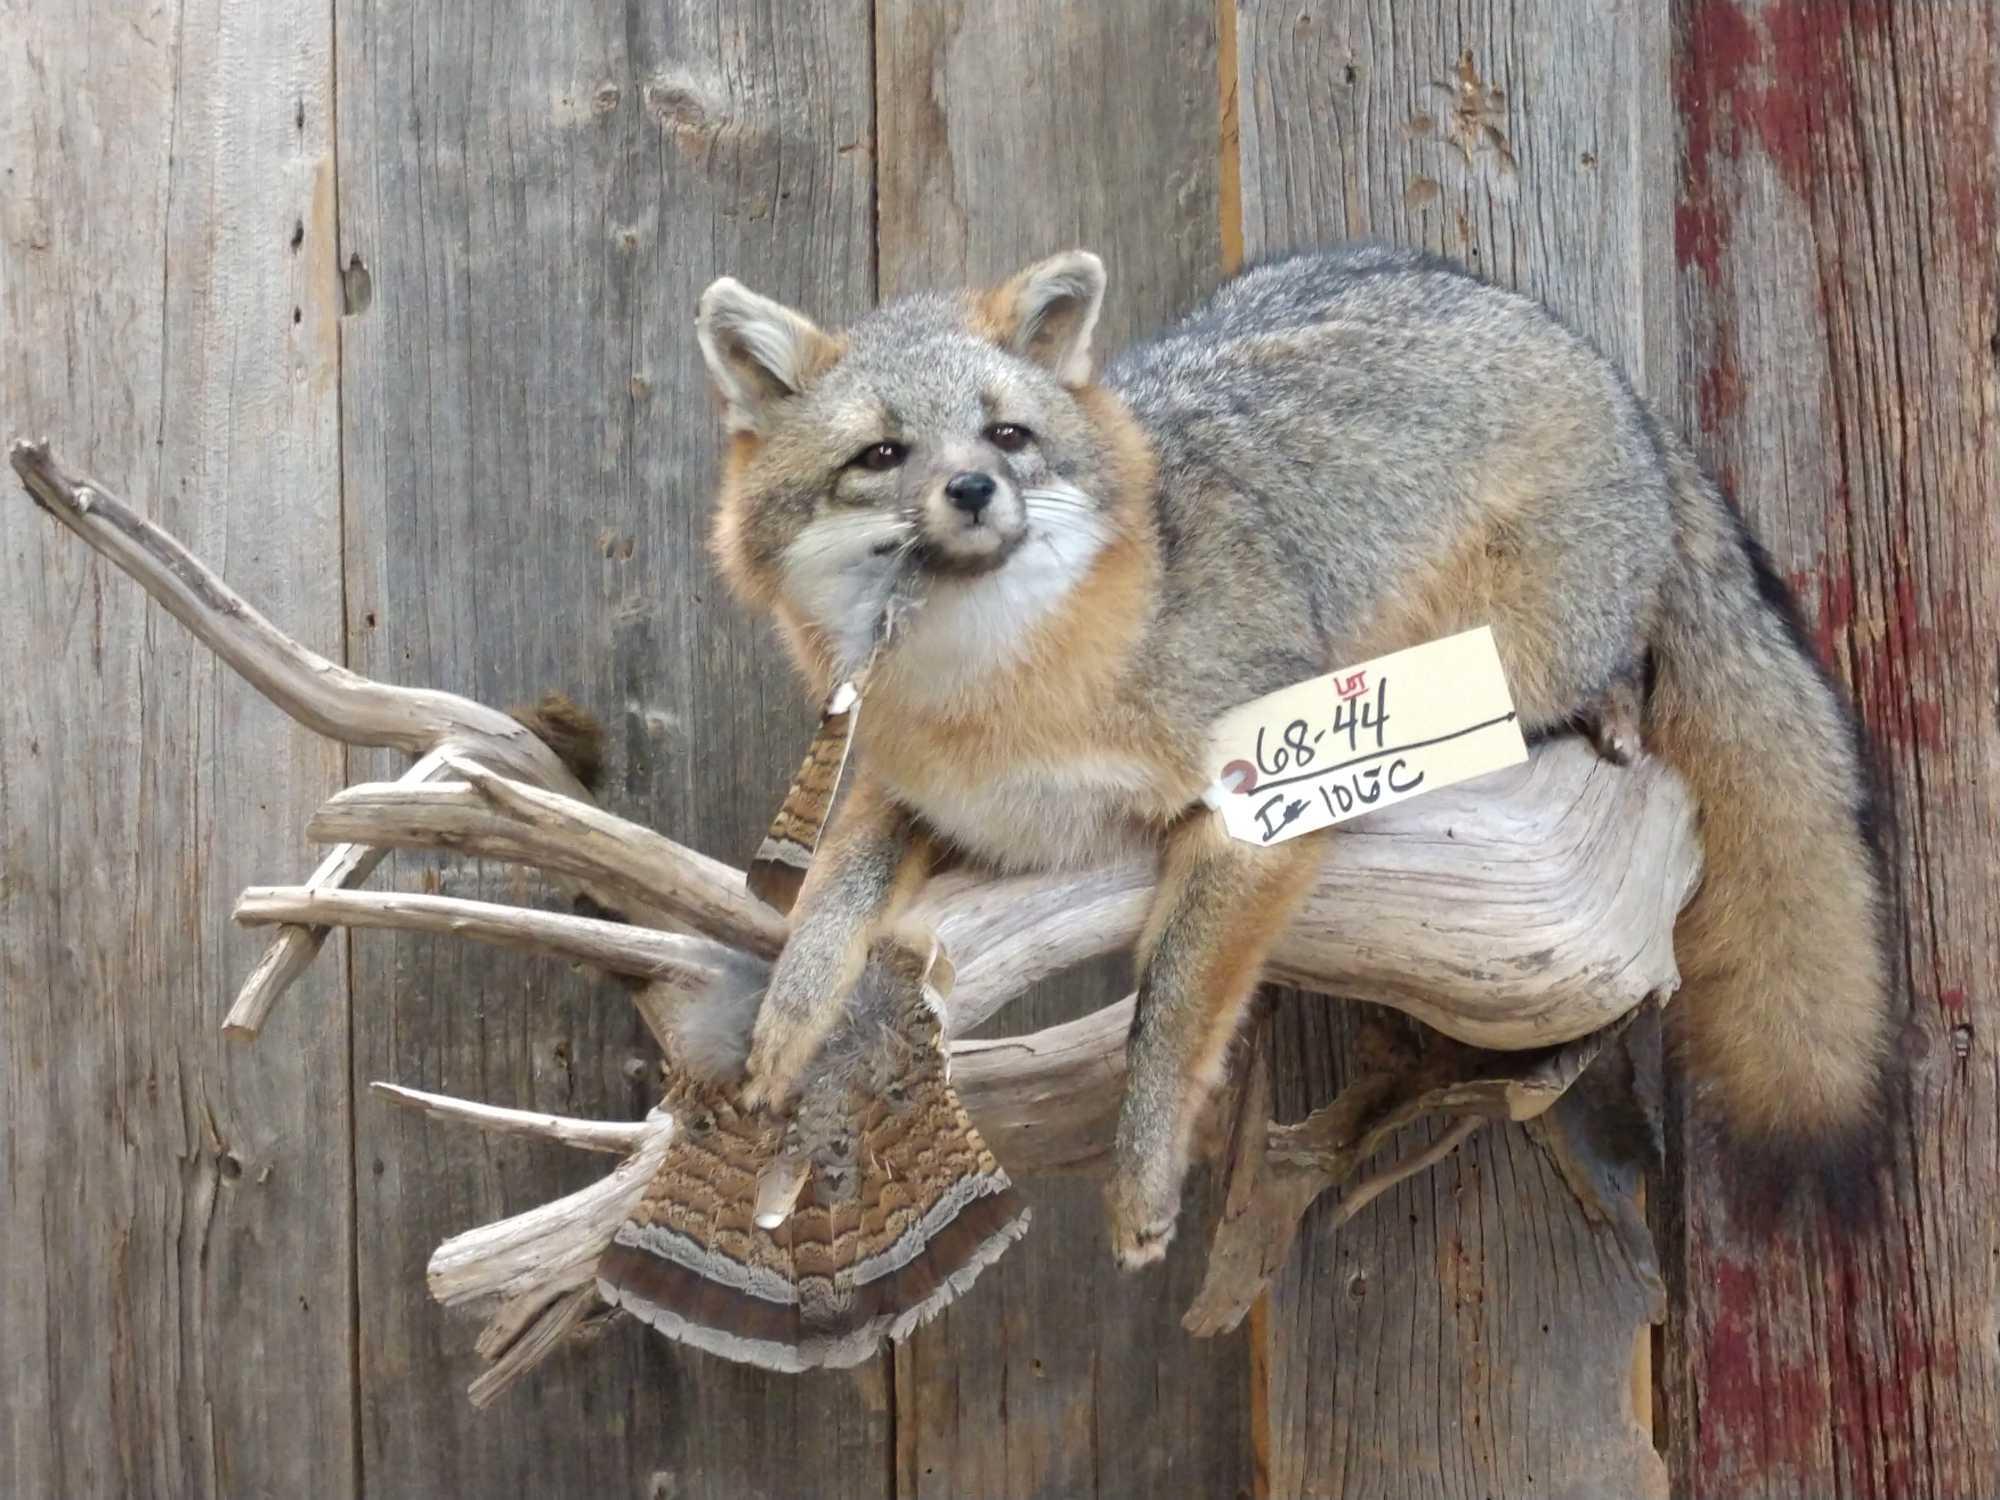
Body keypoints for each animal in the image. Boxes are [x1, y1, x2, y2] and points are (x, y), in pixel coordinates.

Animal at [691, 243, 1900, 1265]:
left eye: (1005, 437)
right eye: (882, 455)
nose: (974, 491)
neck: (997, 693)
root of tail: (1618, 383)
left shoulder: (1259, 799)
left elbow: (1171, 1005)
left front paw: (1142, 1181)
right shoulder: (922, 795)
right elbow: (835, 888)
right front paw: (785, 1023)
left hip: (1513, 651)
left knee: (1620, 655)